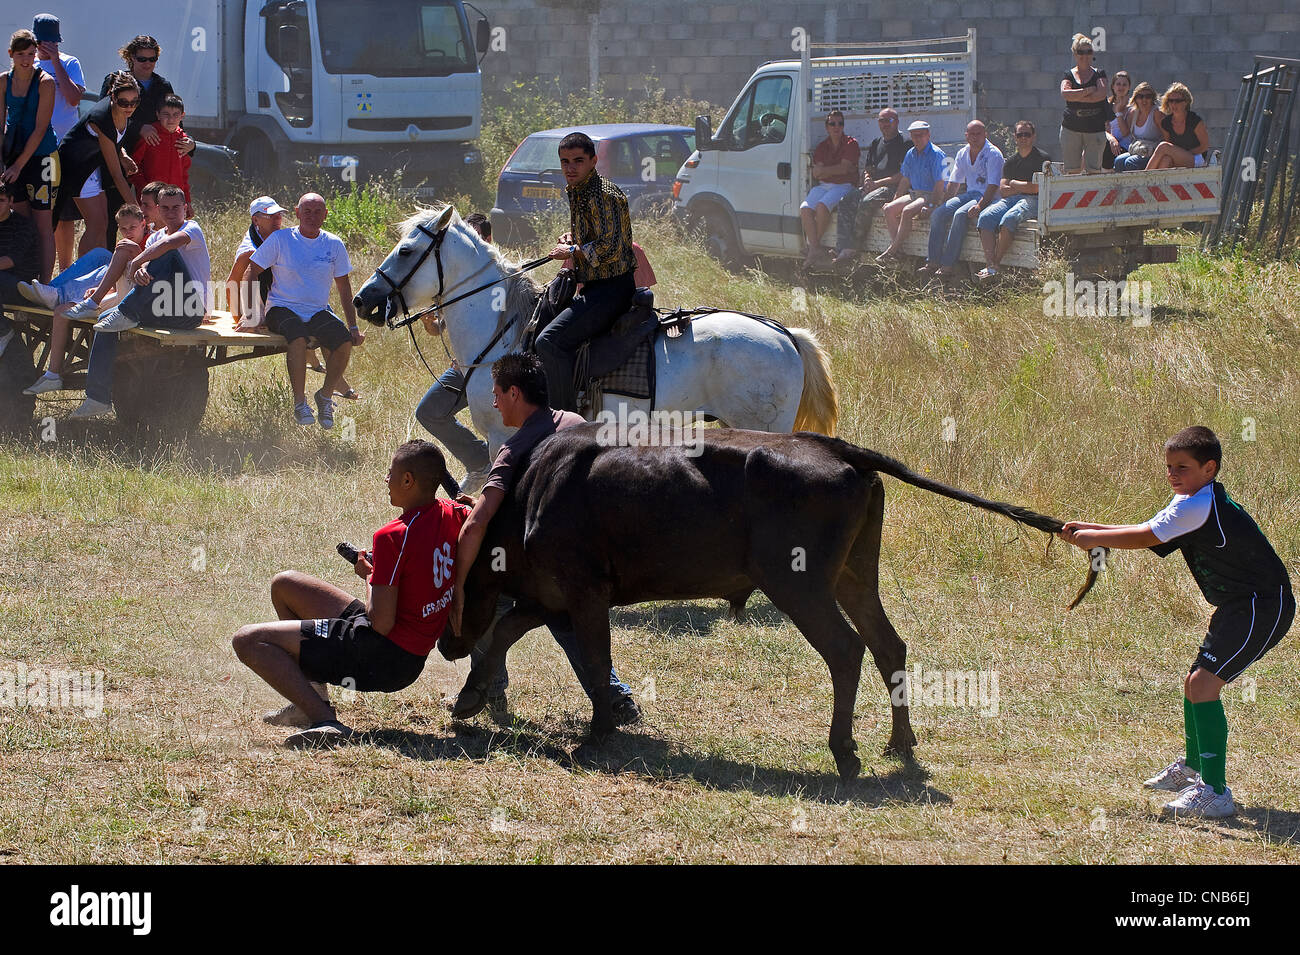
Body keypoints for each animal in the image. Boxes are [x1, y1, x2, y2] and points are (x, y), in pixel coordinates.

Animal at [437, 424, 1083, 782]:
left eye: (450, 583)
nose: (445, 643)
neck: (531, 495)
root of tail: (837, 449)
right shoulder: (549, 599)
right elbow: (506, 633)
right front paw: (470, 697)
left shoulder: (584, 596)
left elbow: (596, 665)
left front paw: (597, 734)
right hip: (853, 577)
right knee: (887, 645)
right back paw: (899, 743)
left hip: (800, 586)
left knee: (847, 651)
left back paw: (844, 752)